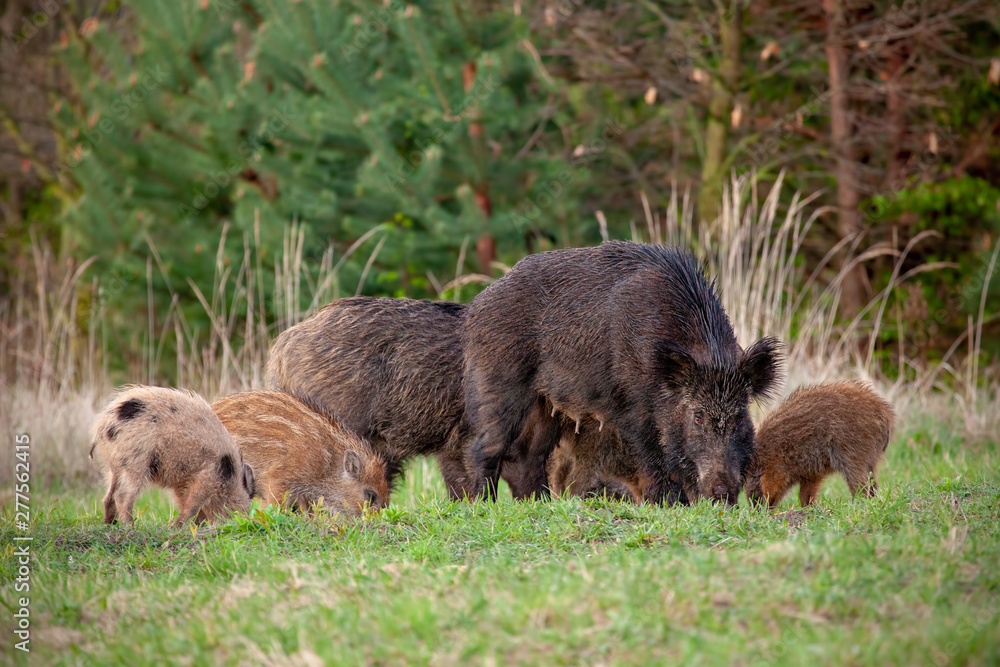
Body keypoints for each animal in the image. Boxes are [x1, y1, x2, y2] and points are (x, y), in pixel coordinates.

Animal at [89, 385, 254, 526]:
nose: (243, 520)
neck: (231, 475)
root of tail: (101, 424)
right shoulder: (208, 475)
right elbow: (193, 505)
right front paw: (178, 526)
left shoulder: (182, 484)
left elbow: (186, 504)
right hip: (135, 459)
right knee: (122, 495)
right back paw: (130, 526)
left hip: (113, 465)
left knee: (108, 496)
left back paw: (110, 524)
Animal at [462, 241, 783, 504]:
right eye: (698, 417)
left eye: (740, 417)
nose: (724, 494)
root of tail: (474, 307)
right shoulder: (632, 405)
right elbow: (654, 454)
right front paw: (671, 503)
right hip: (498, 381)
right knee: (485, 446)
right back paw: (484, 503)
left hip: (547, 404)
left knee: (530, 454)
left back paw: (541, 504)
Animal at [744, 381, 895, 508]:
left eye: (754, 496)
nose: (755, 510)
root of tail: (885, 415)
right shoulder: (811, 473)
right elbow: (806, 494)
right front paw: (809, 509)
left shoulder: (777, 466)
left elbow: (773, 487)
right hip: (870, 458)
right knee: (872, 484)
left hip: (851, 452)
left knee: (860, 484)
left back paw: (856, 504)